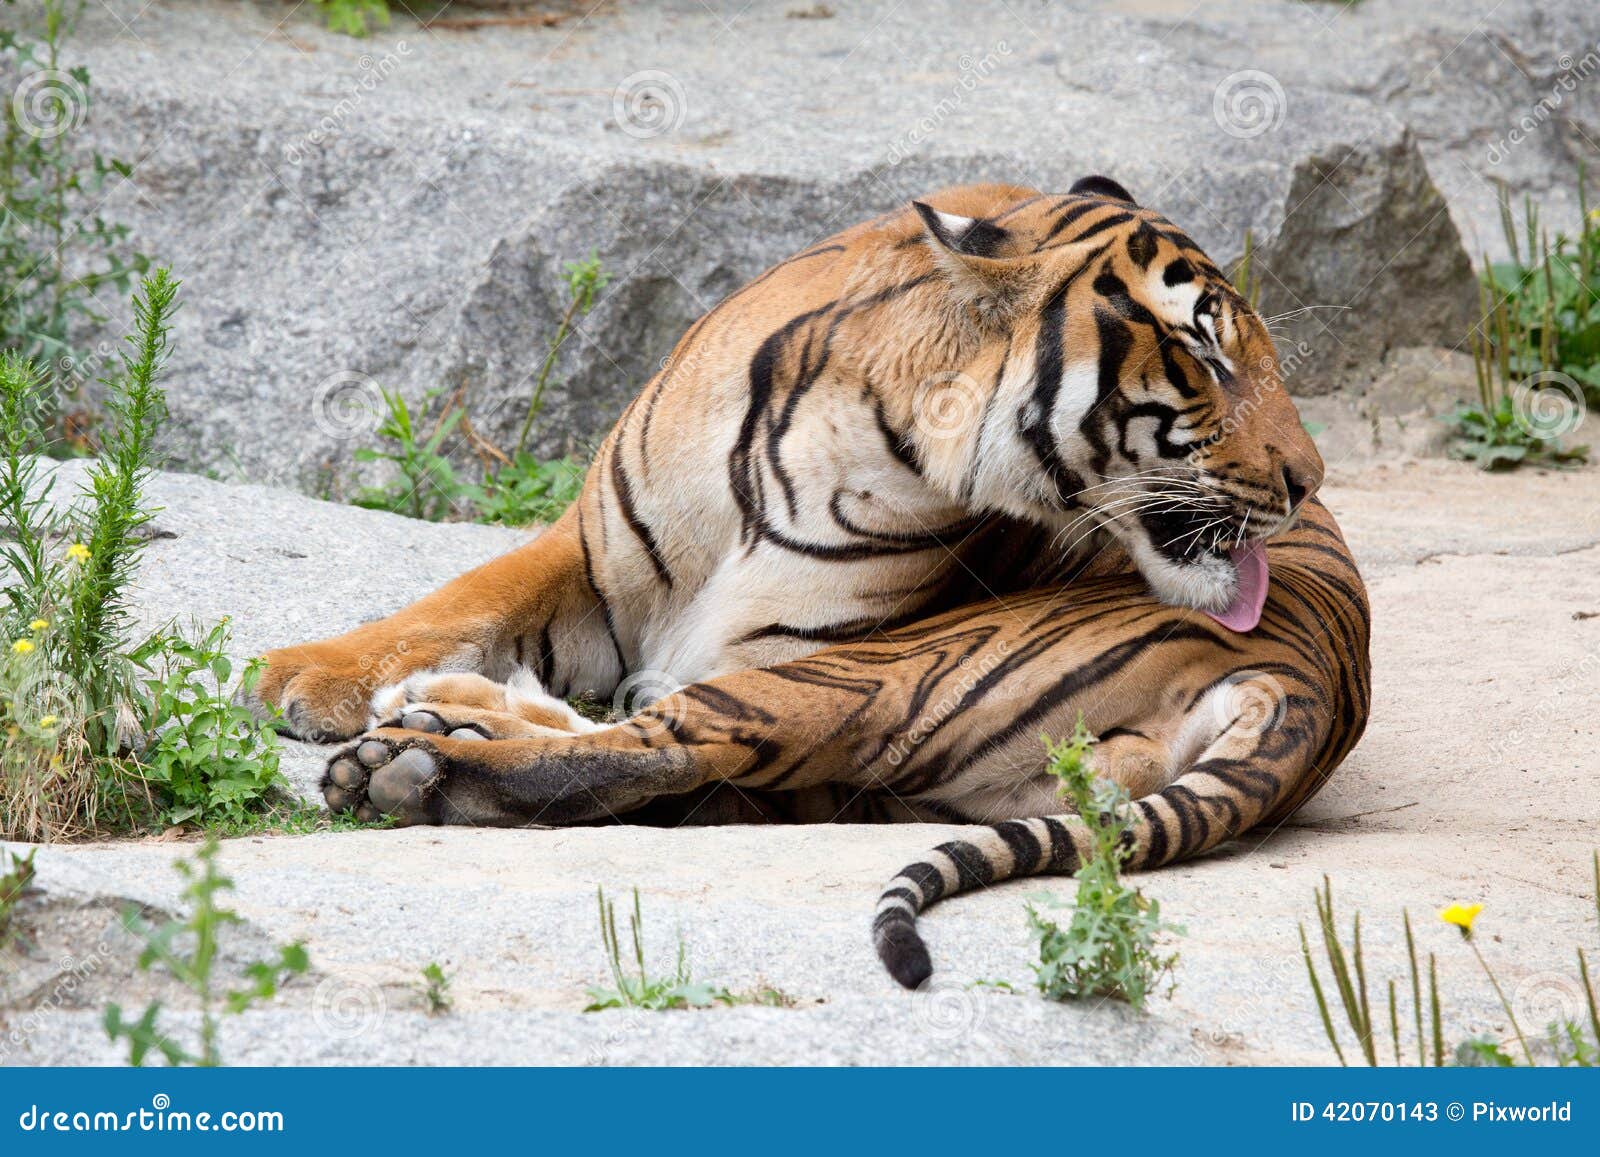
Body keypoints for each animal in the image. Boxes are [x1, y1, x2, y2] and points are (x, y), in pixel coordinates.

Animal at [254, 177, 1371, 988]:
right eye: (1202, 354)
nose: (1308, 478)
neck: (866, 408)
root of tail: (1307, 689)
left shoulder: (786, 645)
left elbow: (650, 728)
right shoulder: (597, 557)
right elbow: (466, 595)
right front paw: (303, 676)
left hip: (883, 673)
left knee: (661, 751)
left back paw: (416, 759)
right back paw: (436, 712)